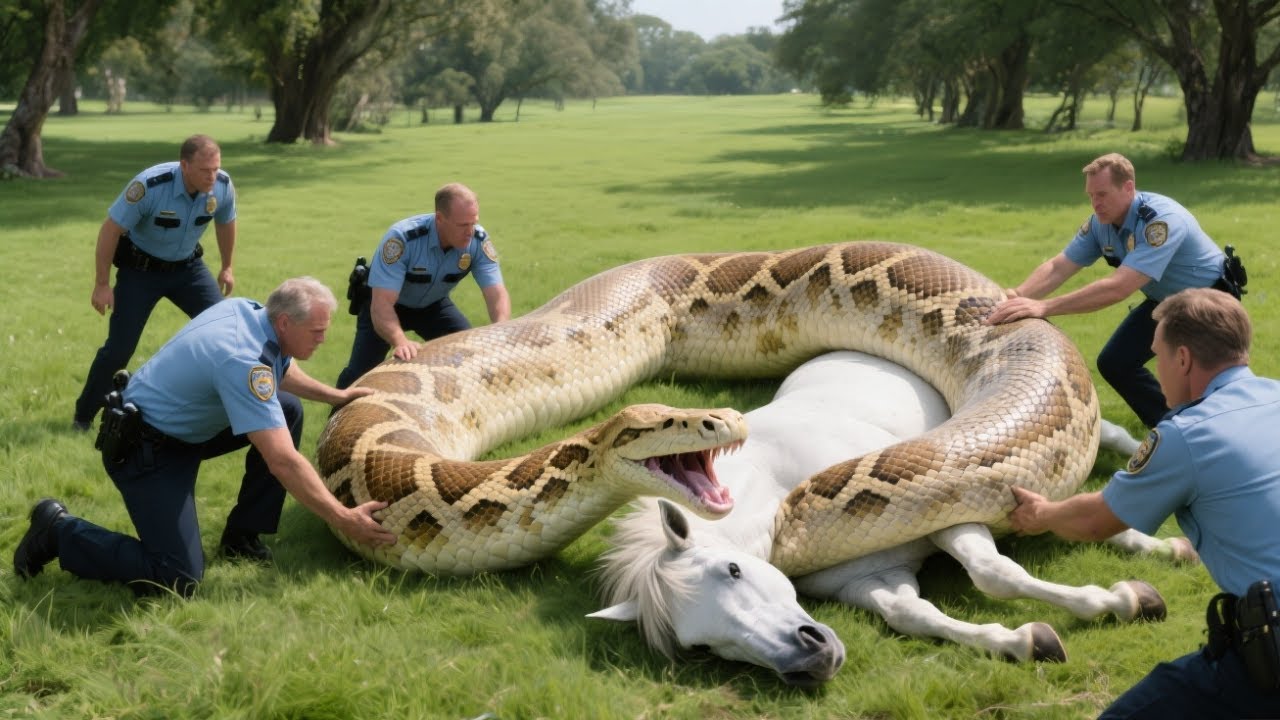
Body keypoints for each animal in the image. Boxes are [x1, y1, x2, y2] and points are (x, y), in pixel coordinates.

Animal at [590, 351, 1195, 686]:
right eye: (700, 647)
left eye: (732, 571)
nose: (809, 659)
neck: (773, 480)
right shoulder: (871, 576)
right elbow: (913, 615)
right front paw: (1020, 641)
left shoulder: (946, 513)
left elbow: (996, 574)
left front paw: (1117, 600)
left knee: (1113, 446)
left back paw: (1159, 541)